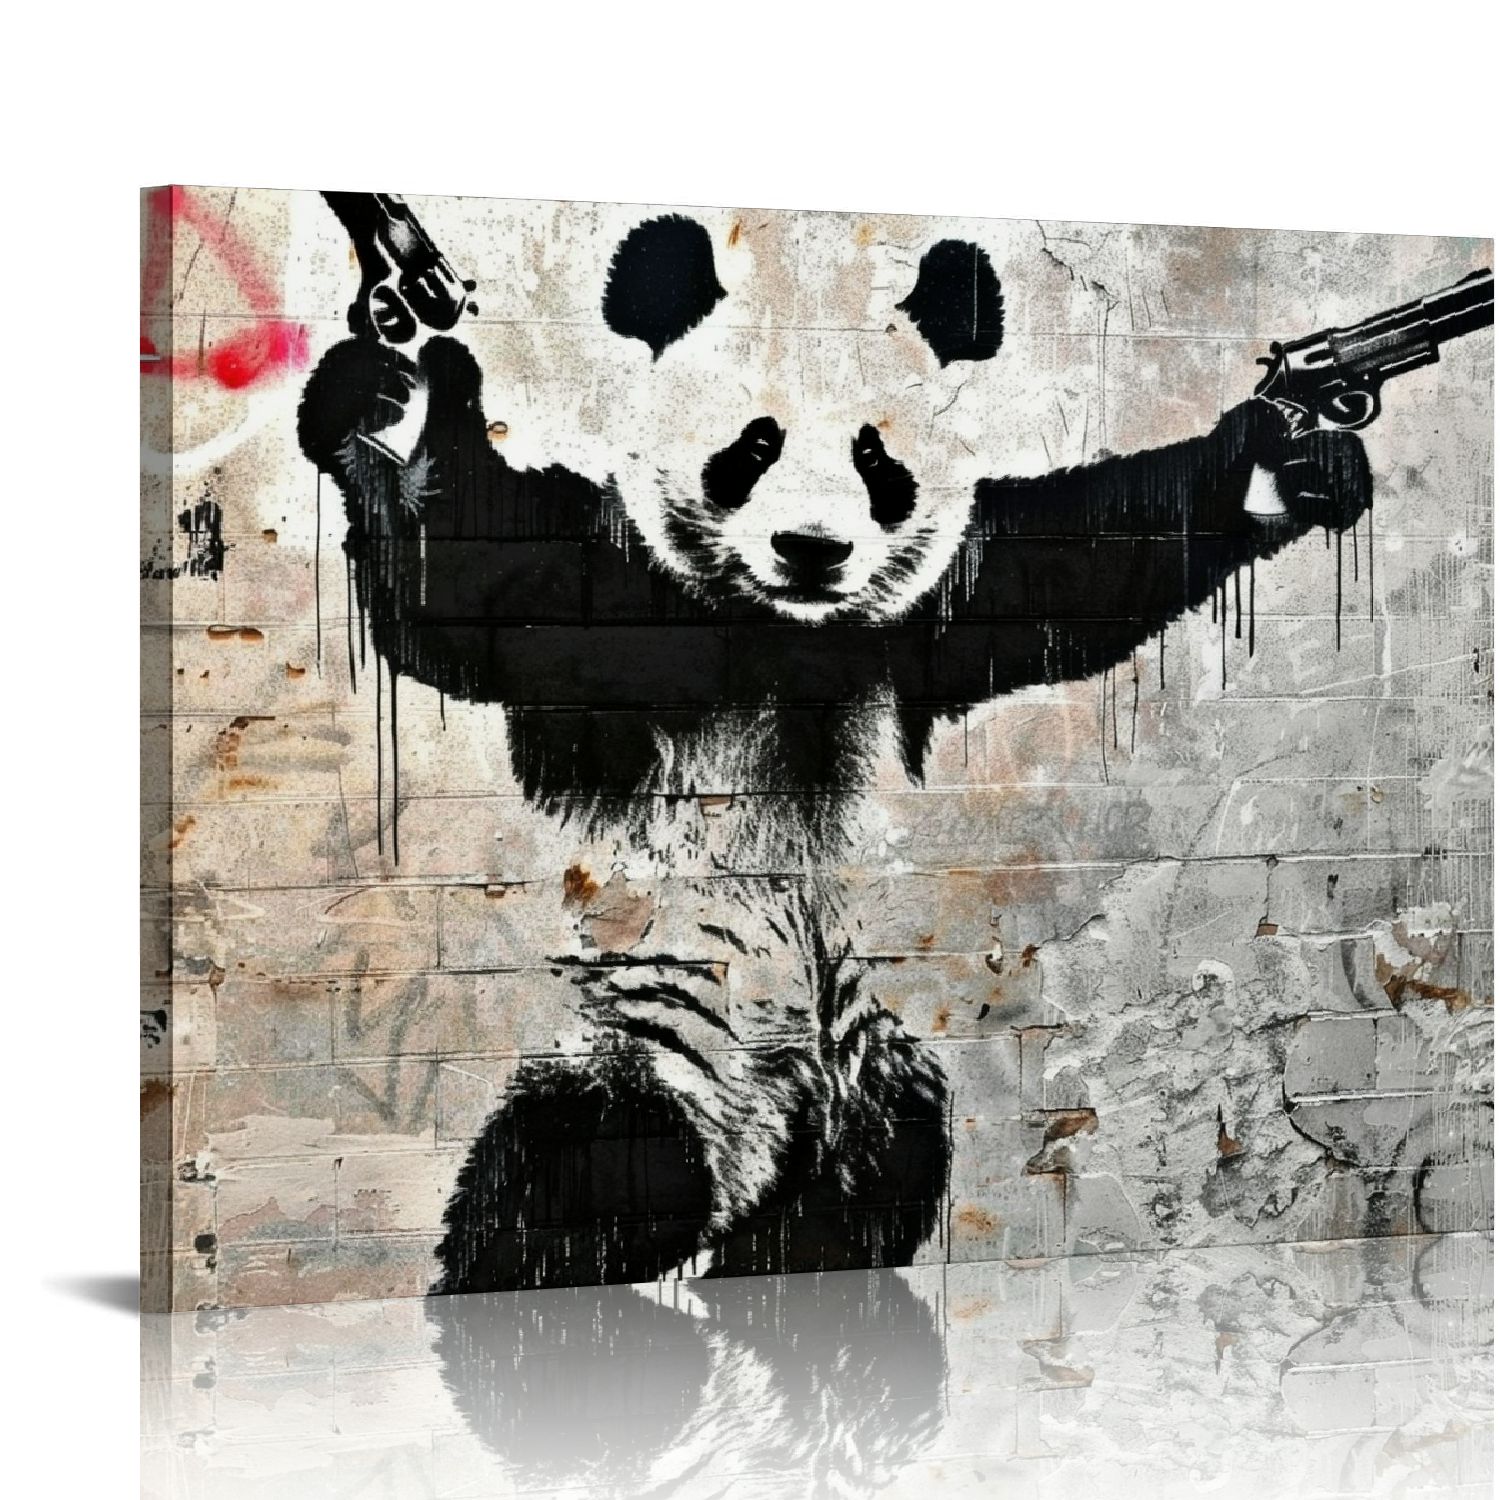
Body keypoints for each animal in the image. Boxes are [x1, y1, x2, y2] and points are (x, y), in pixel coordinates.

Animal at [297, 194, 1372, 1294]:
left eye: (875, 460)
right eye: (753, 446)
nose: (811, 550)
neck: (785, 632)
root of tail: (773, 1127)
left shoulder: (909, 629)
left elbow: (1081, 566)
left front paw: (1286, 465)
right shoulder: (627, 598)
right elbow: (469, 601)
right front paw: (394, 402)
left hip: (863, 1062)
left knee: (877, 1183)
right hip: (658, 1035)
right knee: (584, 1178)